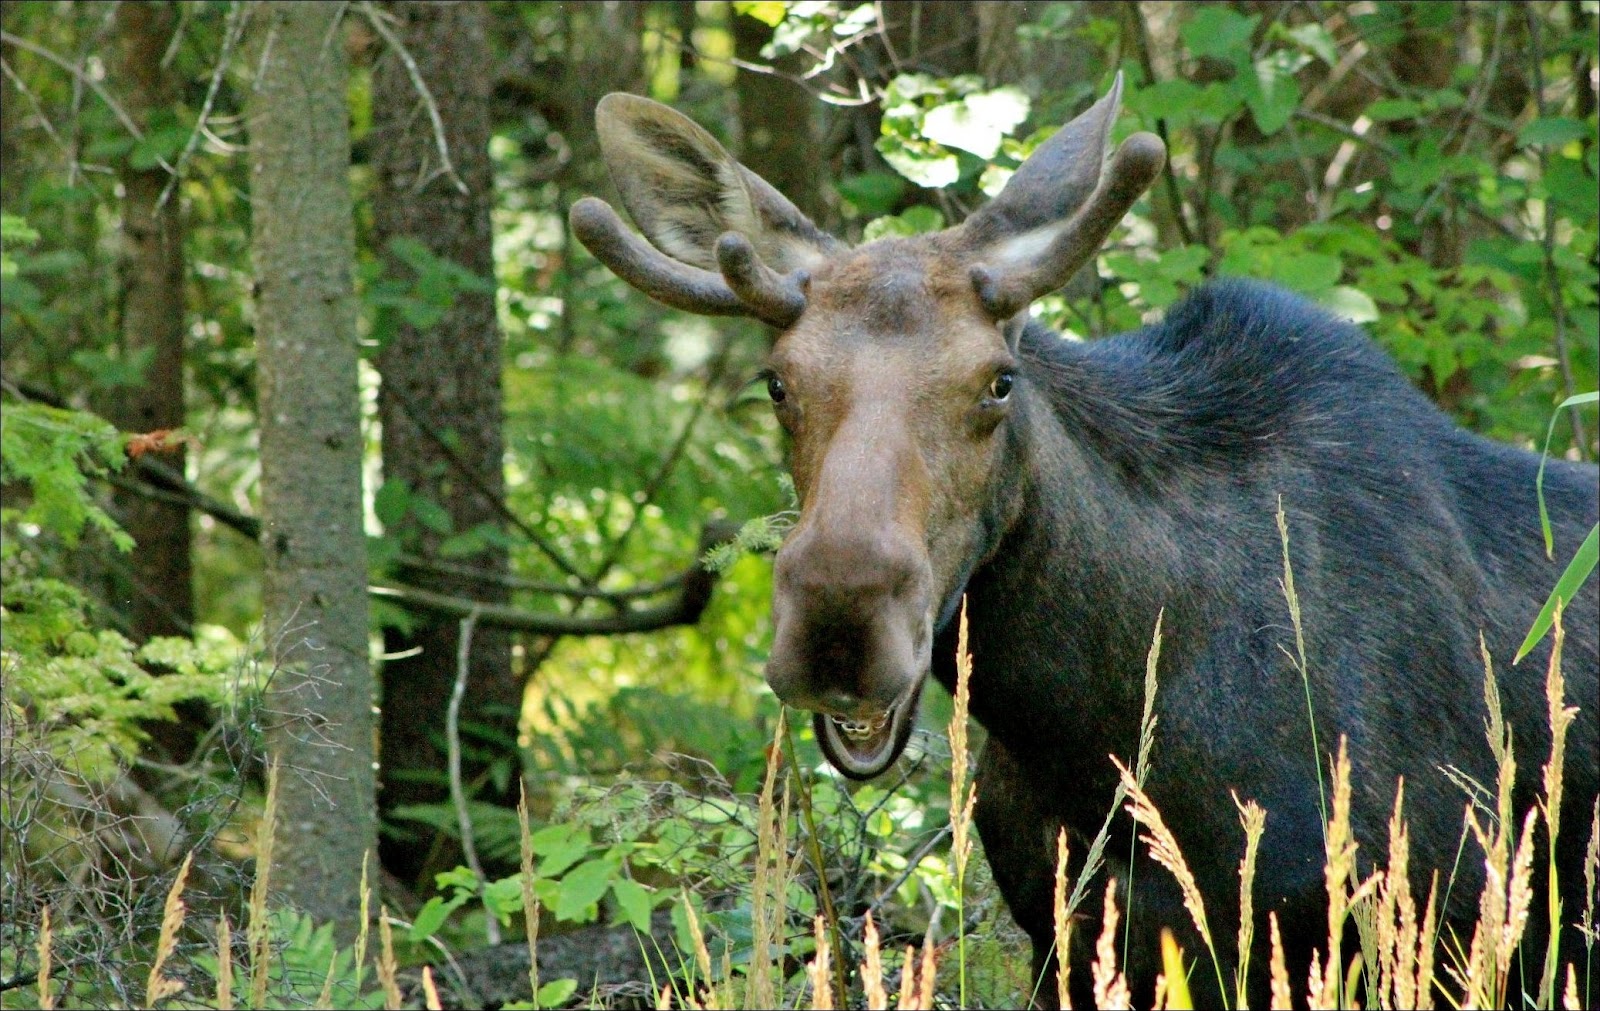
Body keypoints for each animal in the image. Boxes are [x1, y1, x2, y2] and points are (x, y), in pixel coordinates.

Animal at [569, 76, 1599, 1006]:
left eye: (998, 380)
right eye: (777, 381)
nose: (839, 619)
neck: (1090, 729)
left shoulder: (1433, 917)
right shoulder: (1067, 933)